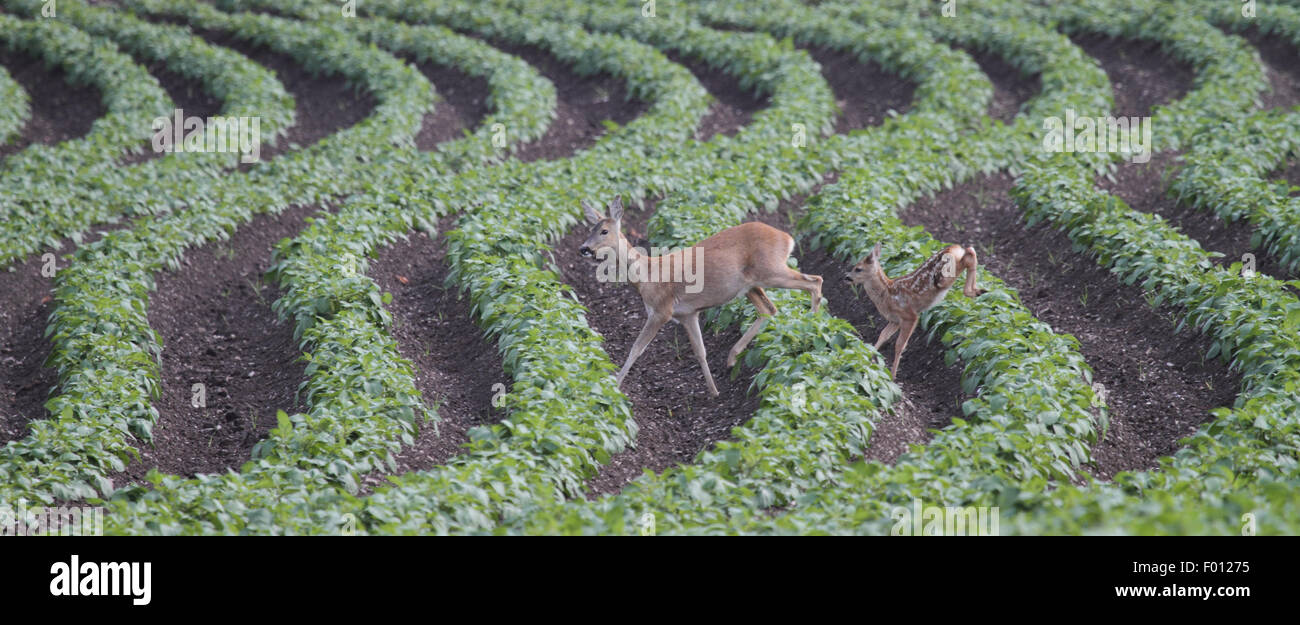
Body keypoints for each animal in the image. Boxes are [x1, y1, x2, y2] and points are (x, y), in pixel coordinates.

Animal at [578, 195, 823, 396]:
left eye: (604, 231)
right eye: (590, 229)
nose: (583, 248)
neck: (646, 276)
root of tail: (787, 238)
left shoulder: (661, 310)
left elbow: (636, 349)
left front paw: (614, 385)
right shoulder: (688, 314)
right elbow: (700, 351)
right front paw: (714, 392)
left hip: (770, 270)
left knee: (815, 281)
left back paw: (809, 329)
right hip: (751, 285)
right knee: (770, 309)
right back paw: (733, 357)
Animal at [844, 242, 987, 379]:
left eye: (858, 268)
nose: (846, 277)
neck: (885, 295)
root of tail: (953, 248)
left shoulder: (909, 315)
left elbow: (899, 345)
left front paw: (892, 376)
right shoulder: (895, 320)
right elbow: (883, 335)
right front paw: (866, 357)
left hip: (944, 277)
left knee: (968, 256)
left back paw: (974, 291)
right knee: (969, 251)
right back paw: (978, 290)